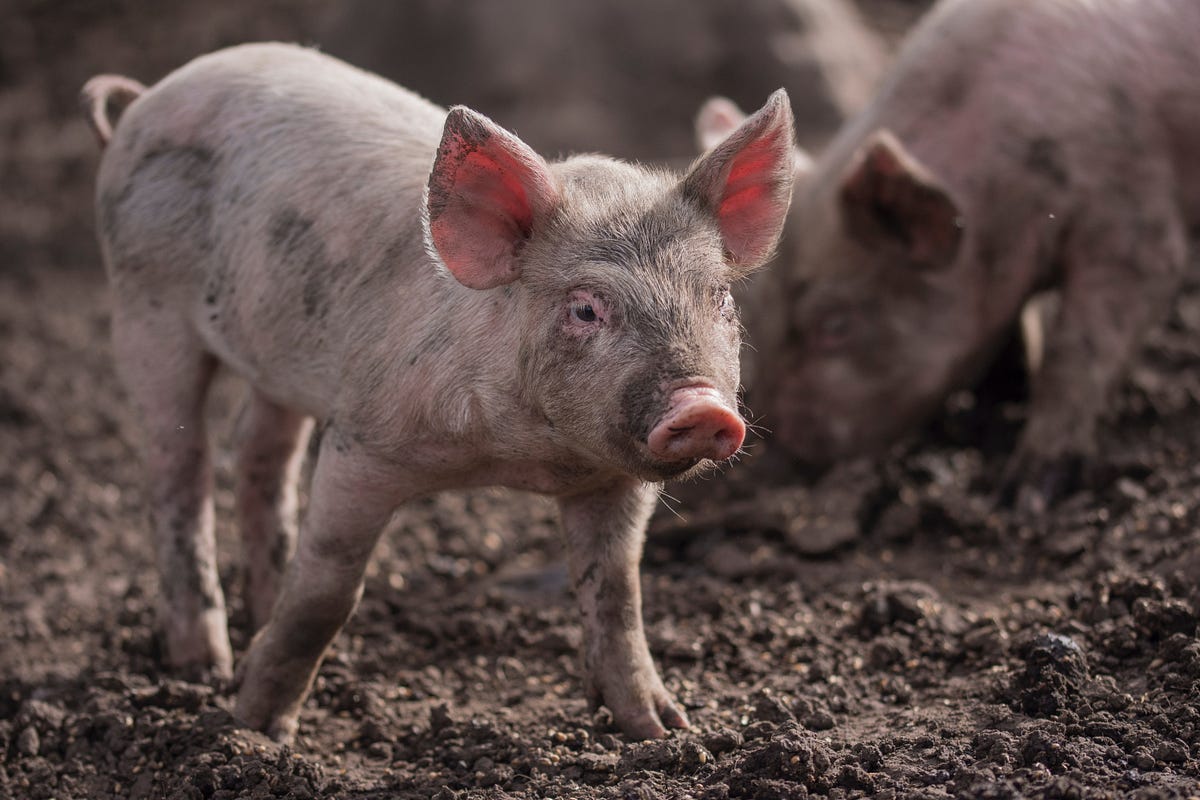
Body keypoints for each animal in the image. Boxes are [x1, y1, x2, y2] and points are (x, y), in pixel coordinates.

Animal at [82, 42, 795, 741]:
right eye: (586, 309)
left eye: (720, 297)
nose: (702, 406)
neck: (519, 458)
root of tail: (146, 98)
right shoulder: (363, 438)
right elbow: (327, 592)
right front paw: (256, 730)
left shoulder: (613, 480)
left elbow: (618, 595)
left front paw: (663, 732)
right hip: (143, 304)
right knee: (179, 467)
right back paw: (201, 663)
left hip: (274, 352)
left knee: (261, 452)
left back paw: (256, 614)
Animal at [696, 0, 1200, 509]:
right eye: (759, 311)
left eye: (836, 325)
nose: (773, 463)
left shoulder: (1130, 217)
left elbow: (1079, 346)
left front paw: (1022, 494)